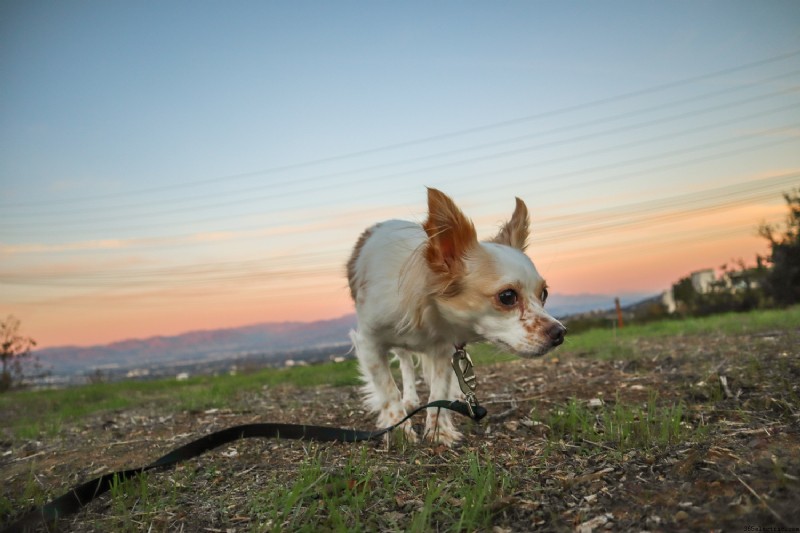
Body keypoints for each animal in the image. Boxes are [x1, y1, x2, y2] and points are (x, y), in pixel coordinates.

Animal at [346, 187, 564, 444]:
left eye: (544, 294)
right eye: (508, 296)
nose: (560, 333)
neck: (430, 317)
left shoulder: (443, 351)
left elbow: (438, 392)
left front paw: (438, 432)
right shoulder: (369, 343)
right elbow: (389, 391)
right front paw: (400, 431)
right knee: (405, 363)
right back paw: (410, 398)